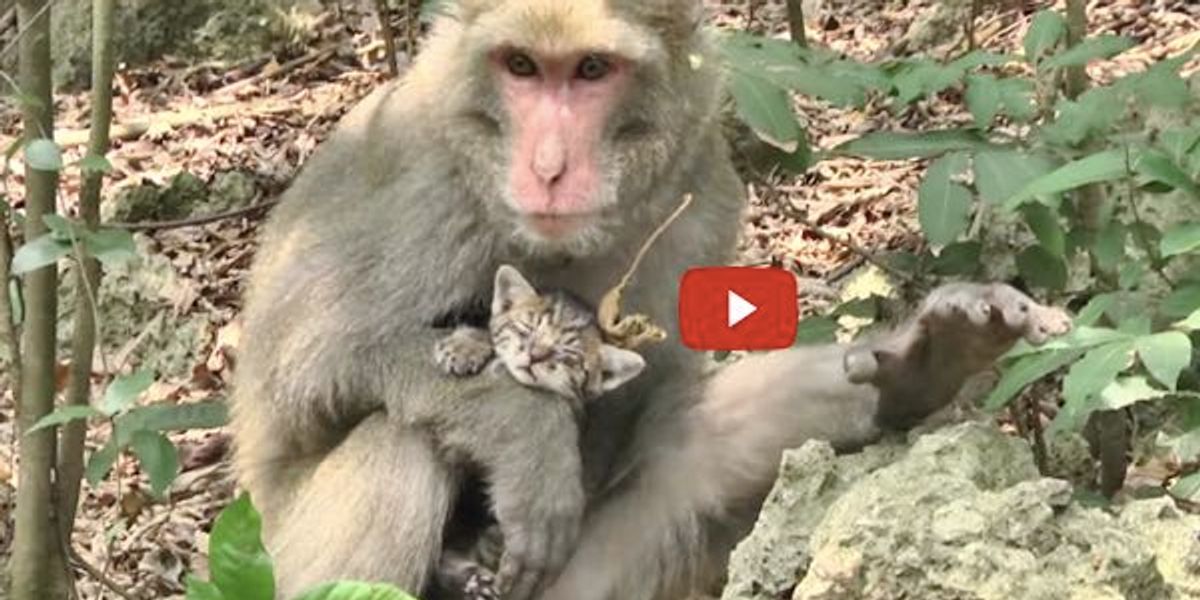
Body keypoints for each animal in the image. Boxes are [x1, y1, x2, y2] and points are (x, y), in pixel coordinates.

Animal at [227, 2, 1073, 600]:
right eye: (521, 67)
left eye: (591, 70)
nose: (549, 168)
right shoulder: (420, 184)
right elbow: (312, 371)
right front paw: (523, 433)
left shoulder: (698, 195)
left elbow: (657, 413)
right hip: (280, 558)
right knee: (396, 445)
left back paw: (920, 369)